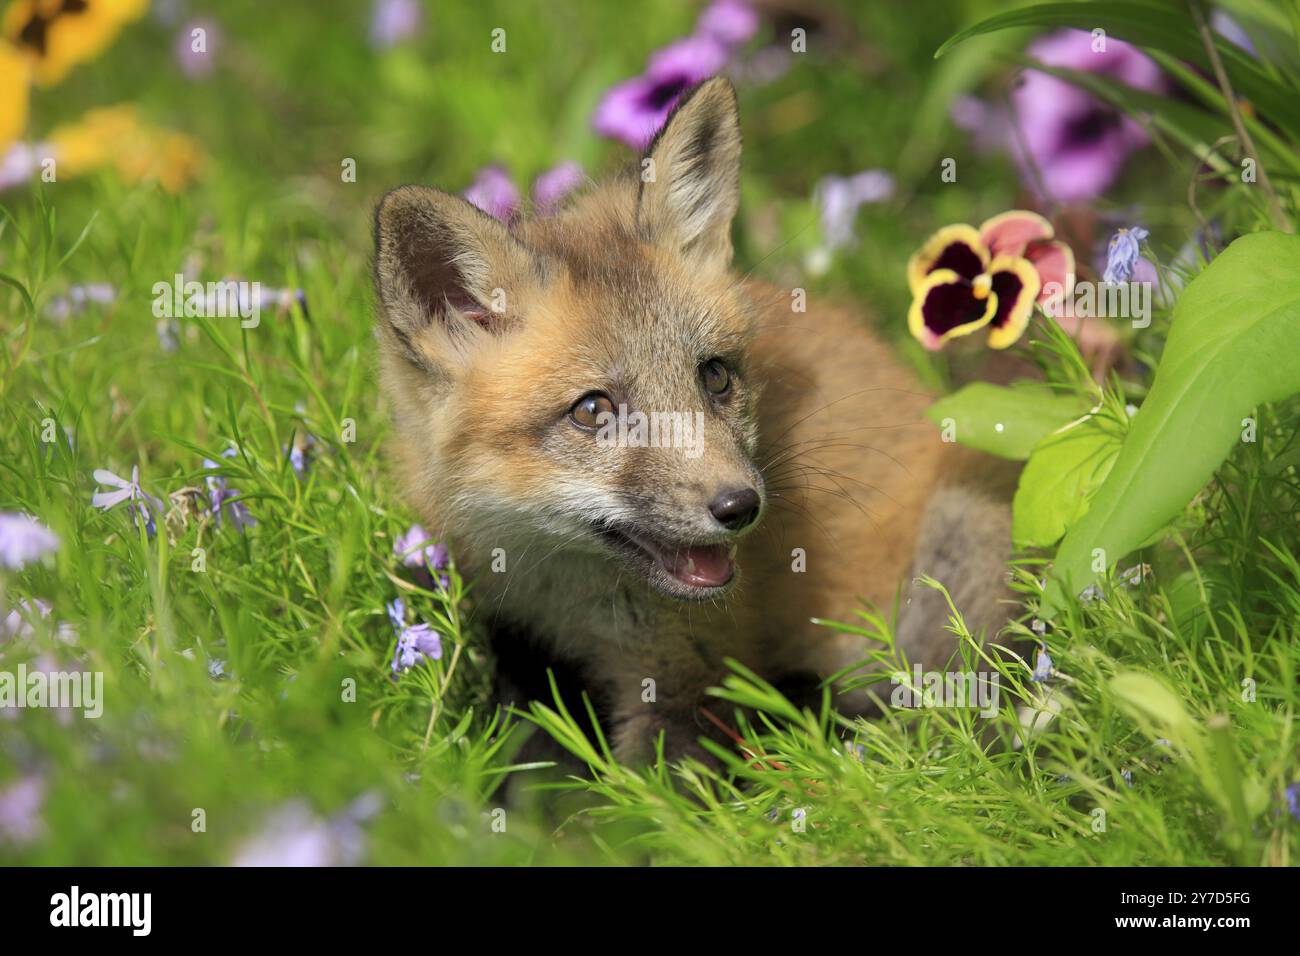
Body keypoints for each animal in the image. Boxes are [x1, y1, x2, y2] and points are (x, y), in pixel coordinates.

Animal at [372, 77, 1017, 767]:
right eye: (593, 410)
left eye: (715, 376)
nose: (741, 506)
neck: (564, 594)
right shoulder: (517, 643)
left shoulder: (691, 681)